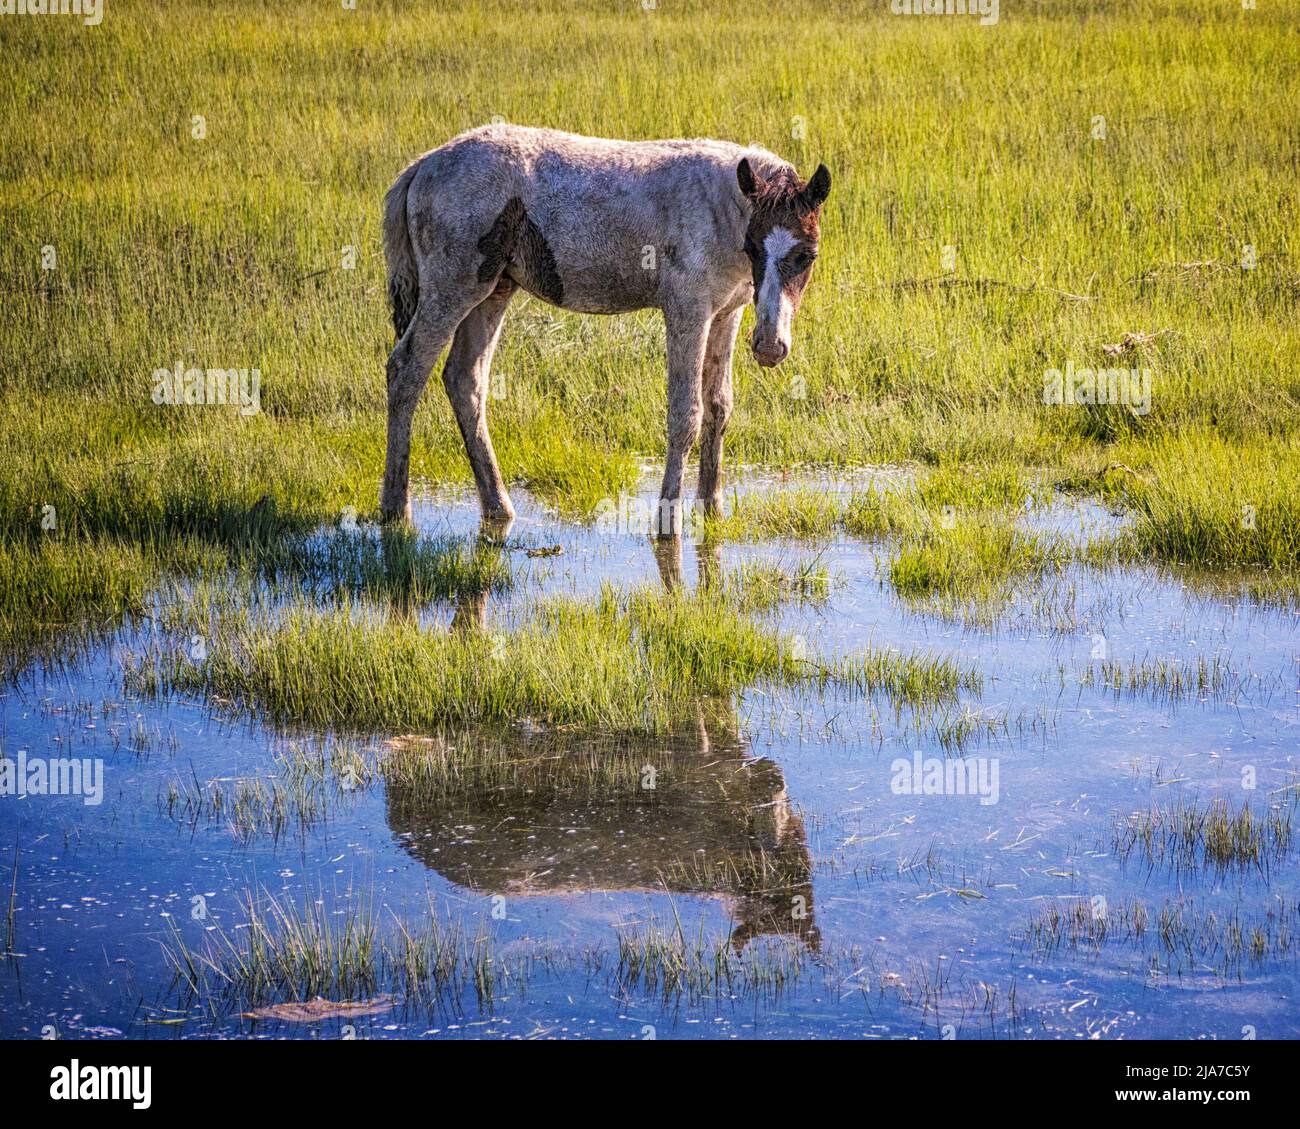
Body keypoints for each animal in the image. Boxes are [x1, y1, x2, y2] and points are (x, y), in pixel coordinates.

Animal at [379, 124, 831, 534]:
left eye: (808, 255)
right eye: (753, 248)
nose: (770, 347)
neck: (722, 208)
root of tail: (422, 166)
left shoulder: (727, 314)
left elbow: (719, 407)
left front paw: (713, 512)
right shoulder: (687, 311)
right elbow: (685, 414)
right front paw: (668, 523)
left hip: (494, 289)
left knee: (465, 379)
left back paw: (498, 508)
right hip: (452, 288)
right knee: (405, 370)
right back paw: (395, 509)